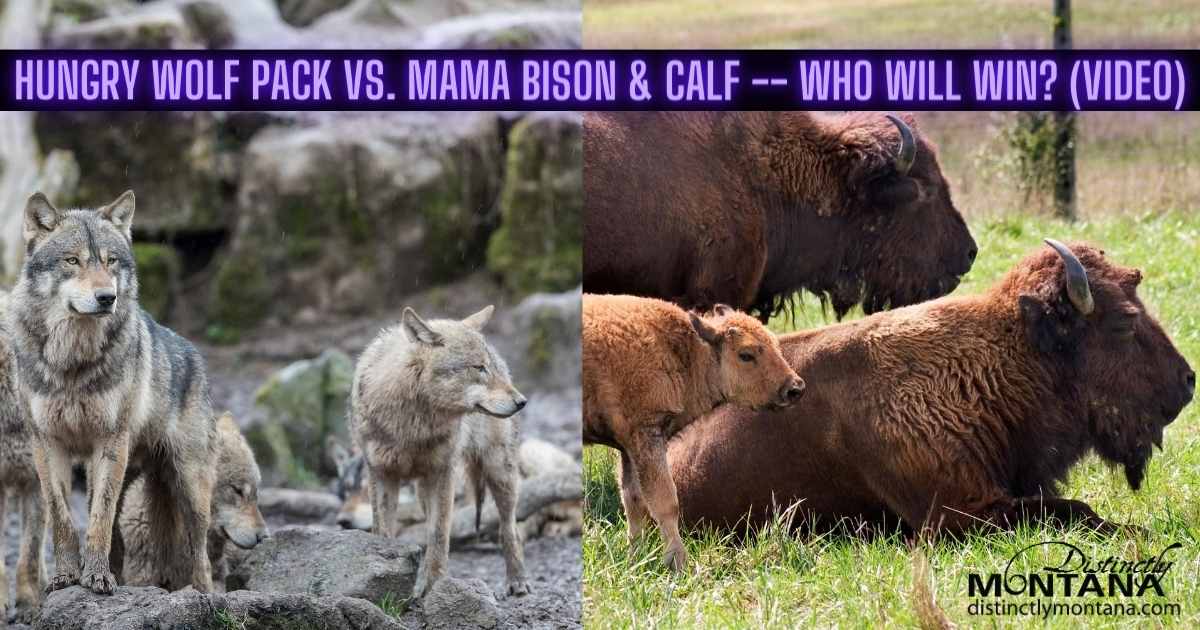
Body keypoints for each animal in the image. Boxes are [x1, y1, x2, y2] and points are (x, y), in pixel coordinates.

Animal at [6, 191, 218, 594]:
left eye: (111, 261)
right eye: (73, 261)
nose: (107, 297)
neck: (72, 362)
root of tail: (195, 354)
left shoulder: (109, 441)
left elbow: (98, 519)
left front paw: (97, 578)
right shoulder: (47, 444)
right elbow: (63, 518)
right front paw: (65, 577)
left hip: (189, 487)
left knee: (200, 552)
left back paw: (201, 594)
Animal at [351, 305, 529, 598]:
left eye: (489, 368)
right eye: (479, 368)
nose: (522, 401)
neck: (413, 427)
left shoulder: (443, 474)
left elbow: (438, 535)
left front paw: (434, 587)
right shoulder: (380, 474)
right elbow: (383, 531)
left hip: (500, 473)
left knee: (509, 527)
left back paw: (517, 581)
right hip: (423, 490)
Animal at [583, 294, 804, 570]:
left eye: (774, 343)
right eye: (746, 354)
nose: (794, 388)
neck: (686, 352)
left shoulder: (629, 447)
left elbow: (634, 502)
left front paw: (637, 559)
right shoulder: (646, 434)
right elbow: (666, 502)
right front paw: (678, 563)